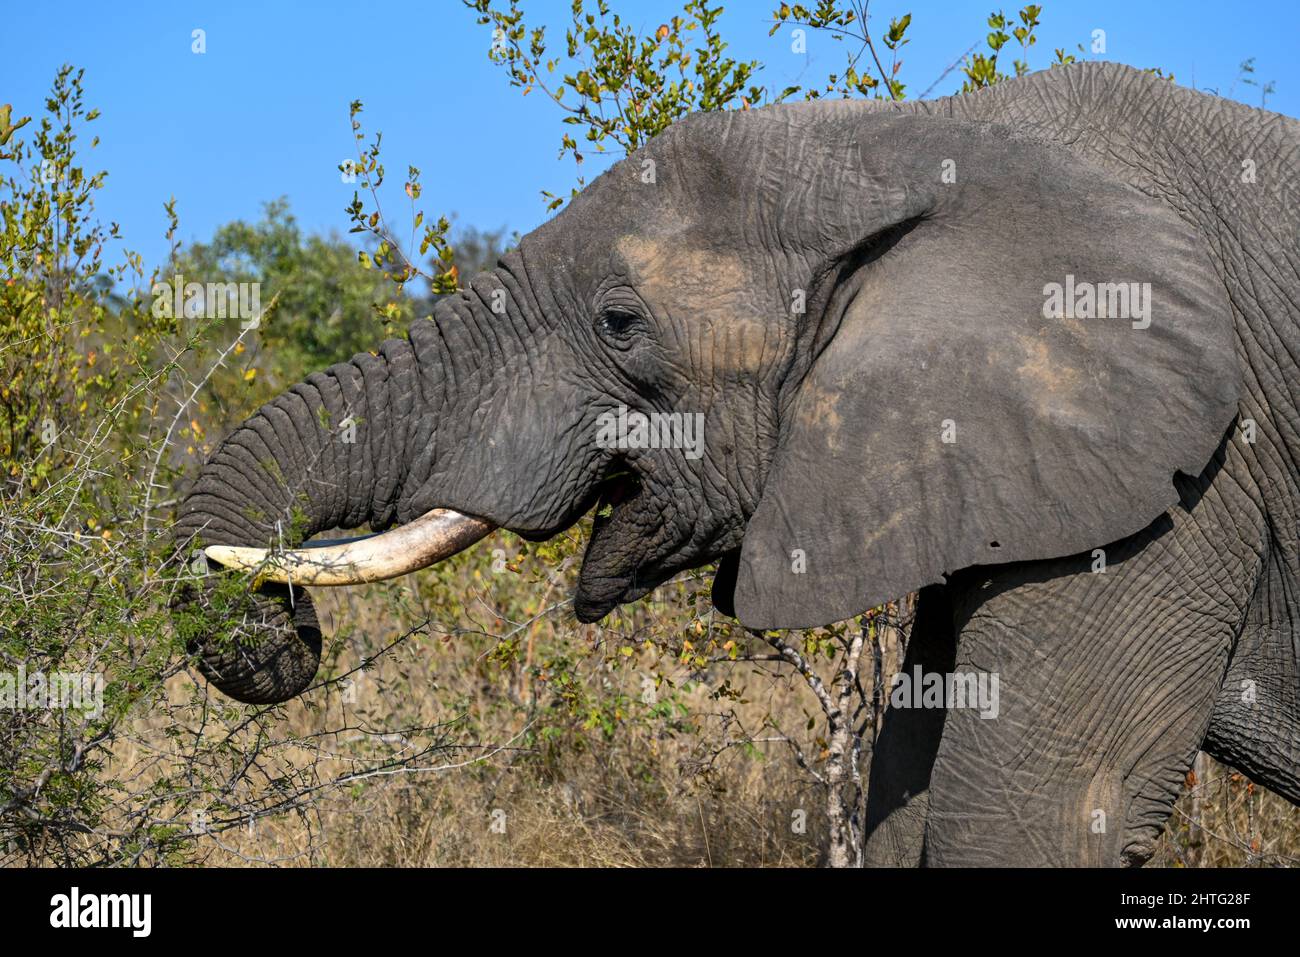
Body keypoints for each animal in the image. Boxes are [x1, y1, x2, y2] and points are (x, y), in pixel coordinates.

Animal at [175, 61, 1300, 867]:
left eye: (620, 323)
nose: (282, 621)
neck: (922, 137)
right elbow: (906, 802)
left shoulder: (1188, 486)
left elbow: (1029, 822)